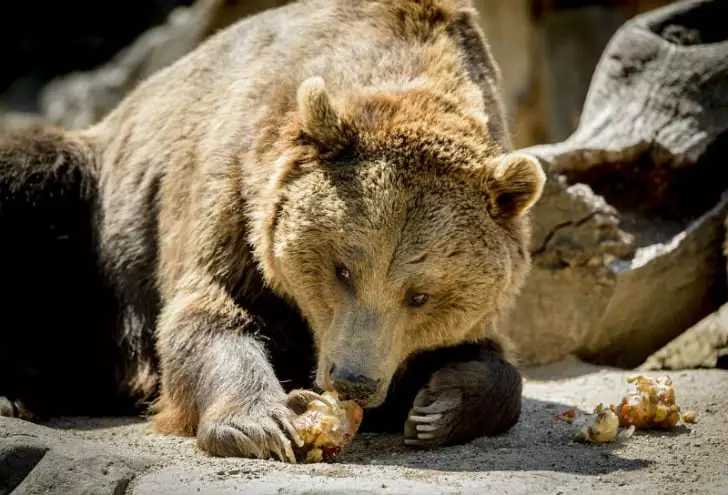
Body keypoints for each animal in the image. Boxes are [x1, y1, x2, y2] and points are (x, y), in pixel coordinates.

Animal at [0, 0, 544, 464]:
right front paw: (263, 422)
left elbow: (490, 359)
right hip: (89, 223)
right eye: (343, 269)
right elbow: (208, 313)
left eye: (420, 295)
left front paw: (438, 406)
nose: (354, 381)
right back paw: (12, 397)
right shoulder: (235, 197)